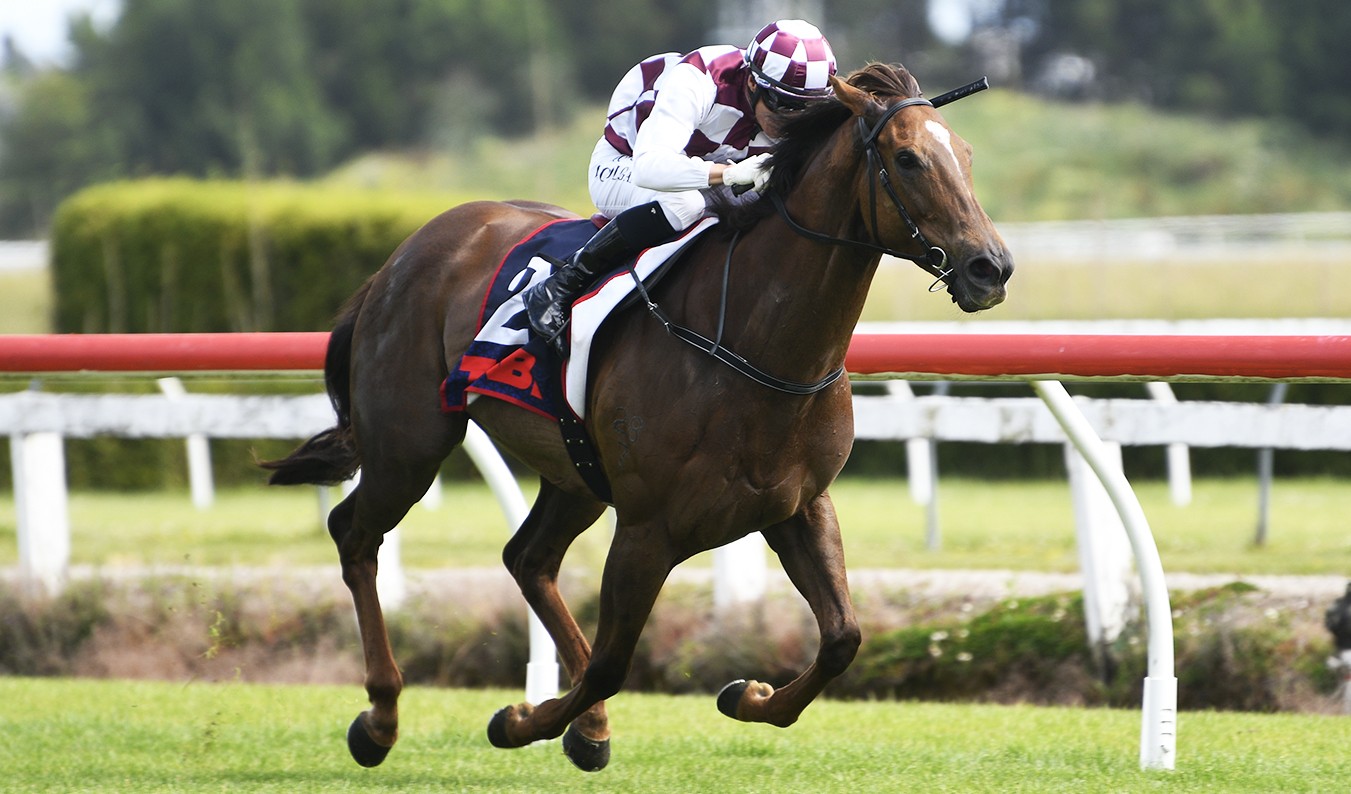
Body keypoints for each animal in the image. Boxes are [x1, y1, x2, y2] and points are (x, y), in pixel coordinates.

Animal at [262, 62, 1012, 772]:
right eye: (908, 158)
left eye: (967, 154)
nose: (991, 267)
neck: (756, 344)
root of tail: (402, 255)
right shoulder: (647, 529)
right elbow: (608, 665)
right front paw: (519, 721)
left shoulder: (798, 506)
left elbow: (842, 639)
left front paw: (749, 696)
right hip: (409, 444)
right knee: (355, 534)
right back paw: (381, 718)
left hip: (573, 472)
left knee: (526, 558)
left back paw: (582, 727)